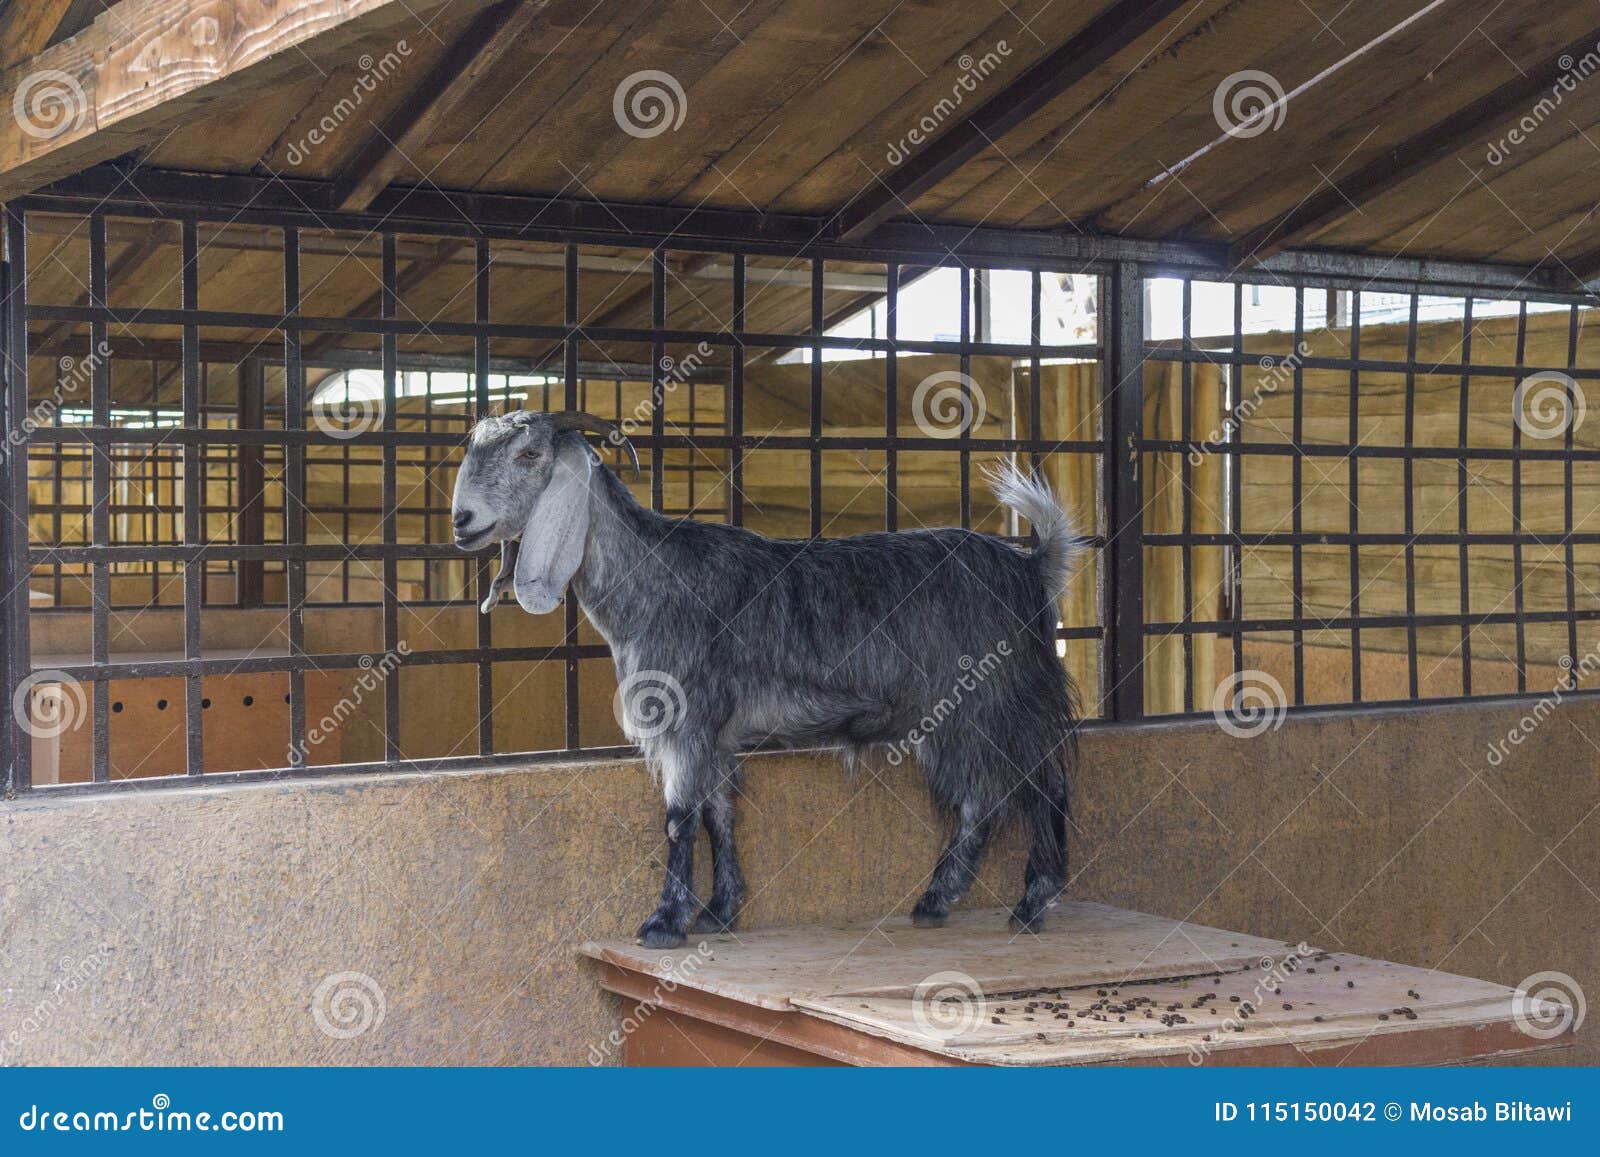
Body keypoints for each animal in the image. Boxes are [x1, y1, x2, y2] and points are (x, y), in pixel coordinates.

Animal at [451, 410, 1084, 949]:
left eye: (529, 453)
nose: (462, 521)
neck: (653, 577)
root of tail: (1032, 566)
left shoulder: (687, 719)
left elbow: (680, 820)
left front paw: (663, 924)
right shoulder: (716, 734)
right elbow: (719, 812)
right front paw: (719, 912)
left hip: (1004, 698)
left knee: (1042, 783)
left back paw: (1033, 902)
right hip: (952, 717)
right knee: (981, 799)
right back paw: (936, 900)